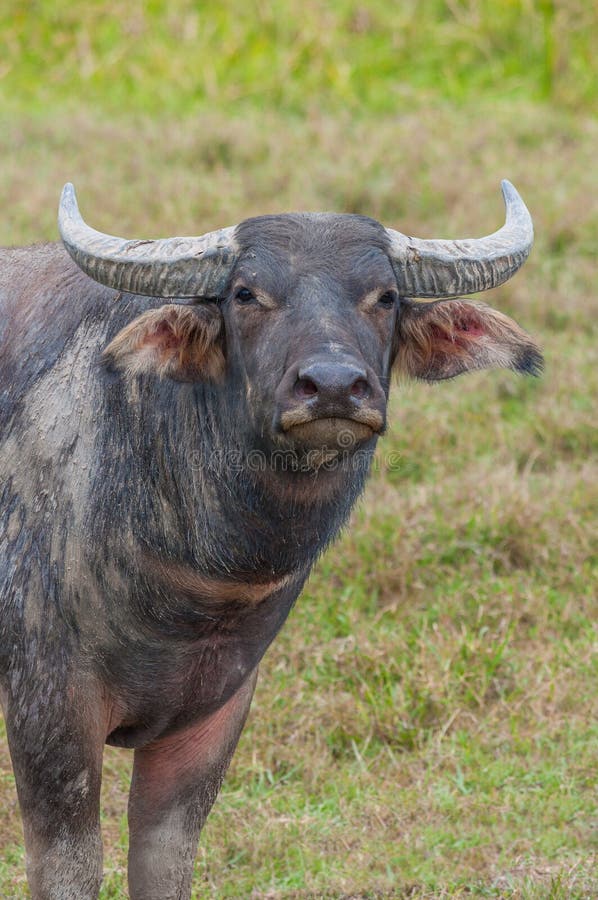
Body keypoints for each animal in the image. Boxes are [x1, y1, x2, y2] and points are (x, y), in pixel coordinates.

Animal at [0, 181, 541, 898]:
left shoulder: (215, 715)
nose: (334, 387)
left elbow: (164, 859)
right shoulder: (49, 710)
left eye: (385, 296)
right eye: (246, 293)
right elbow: (71, 867)